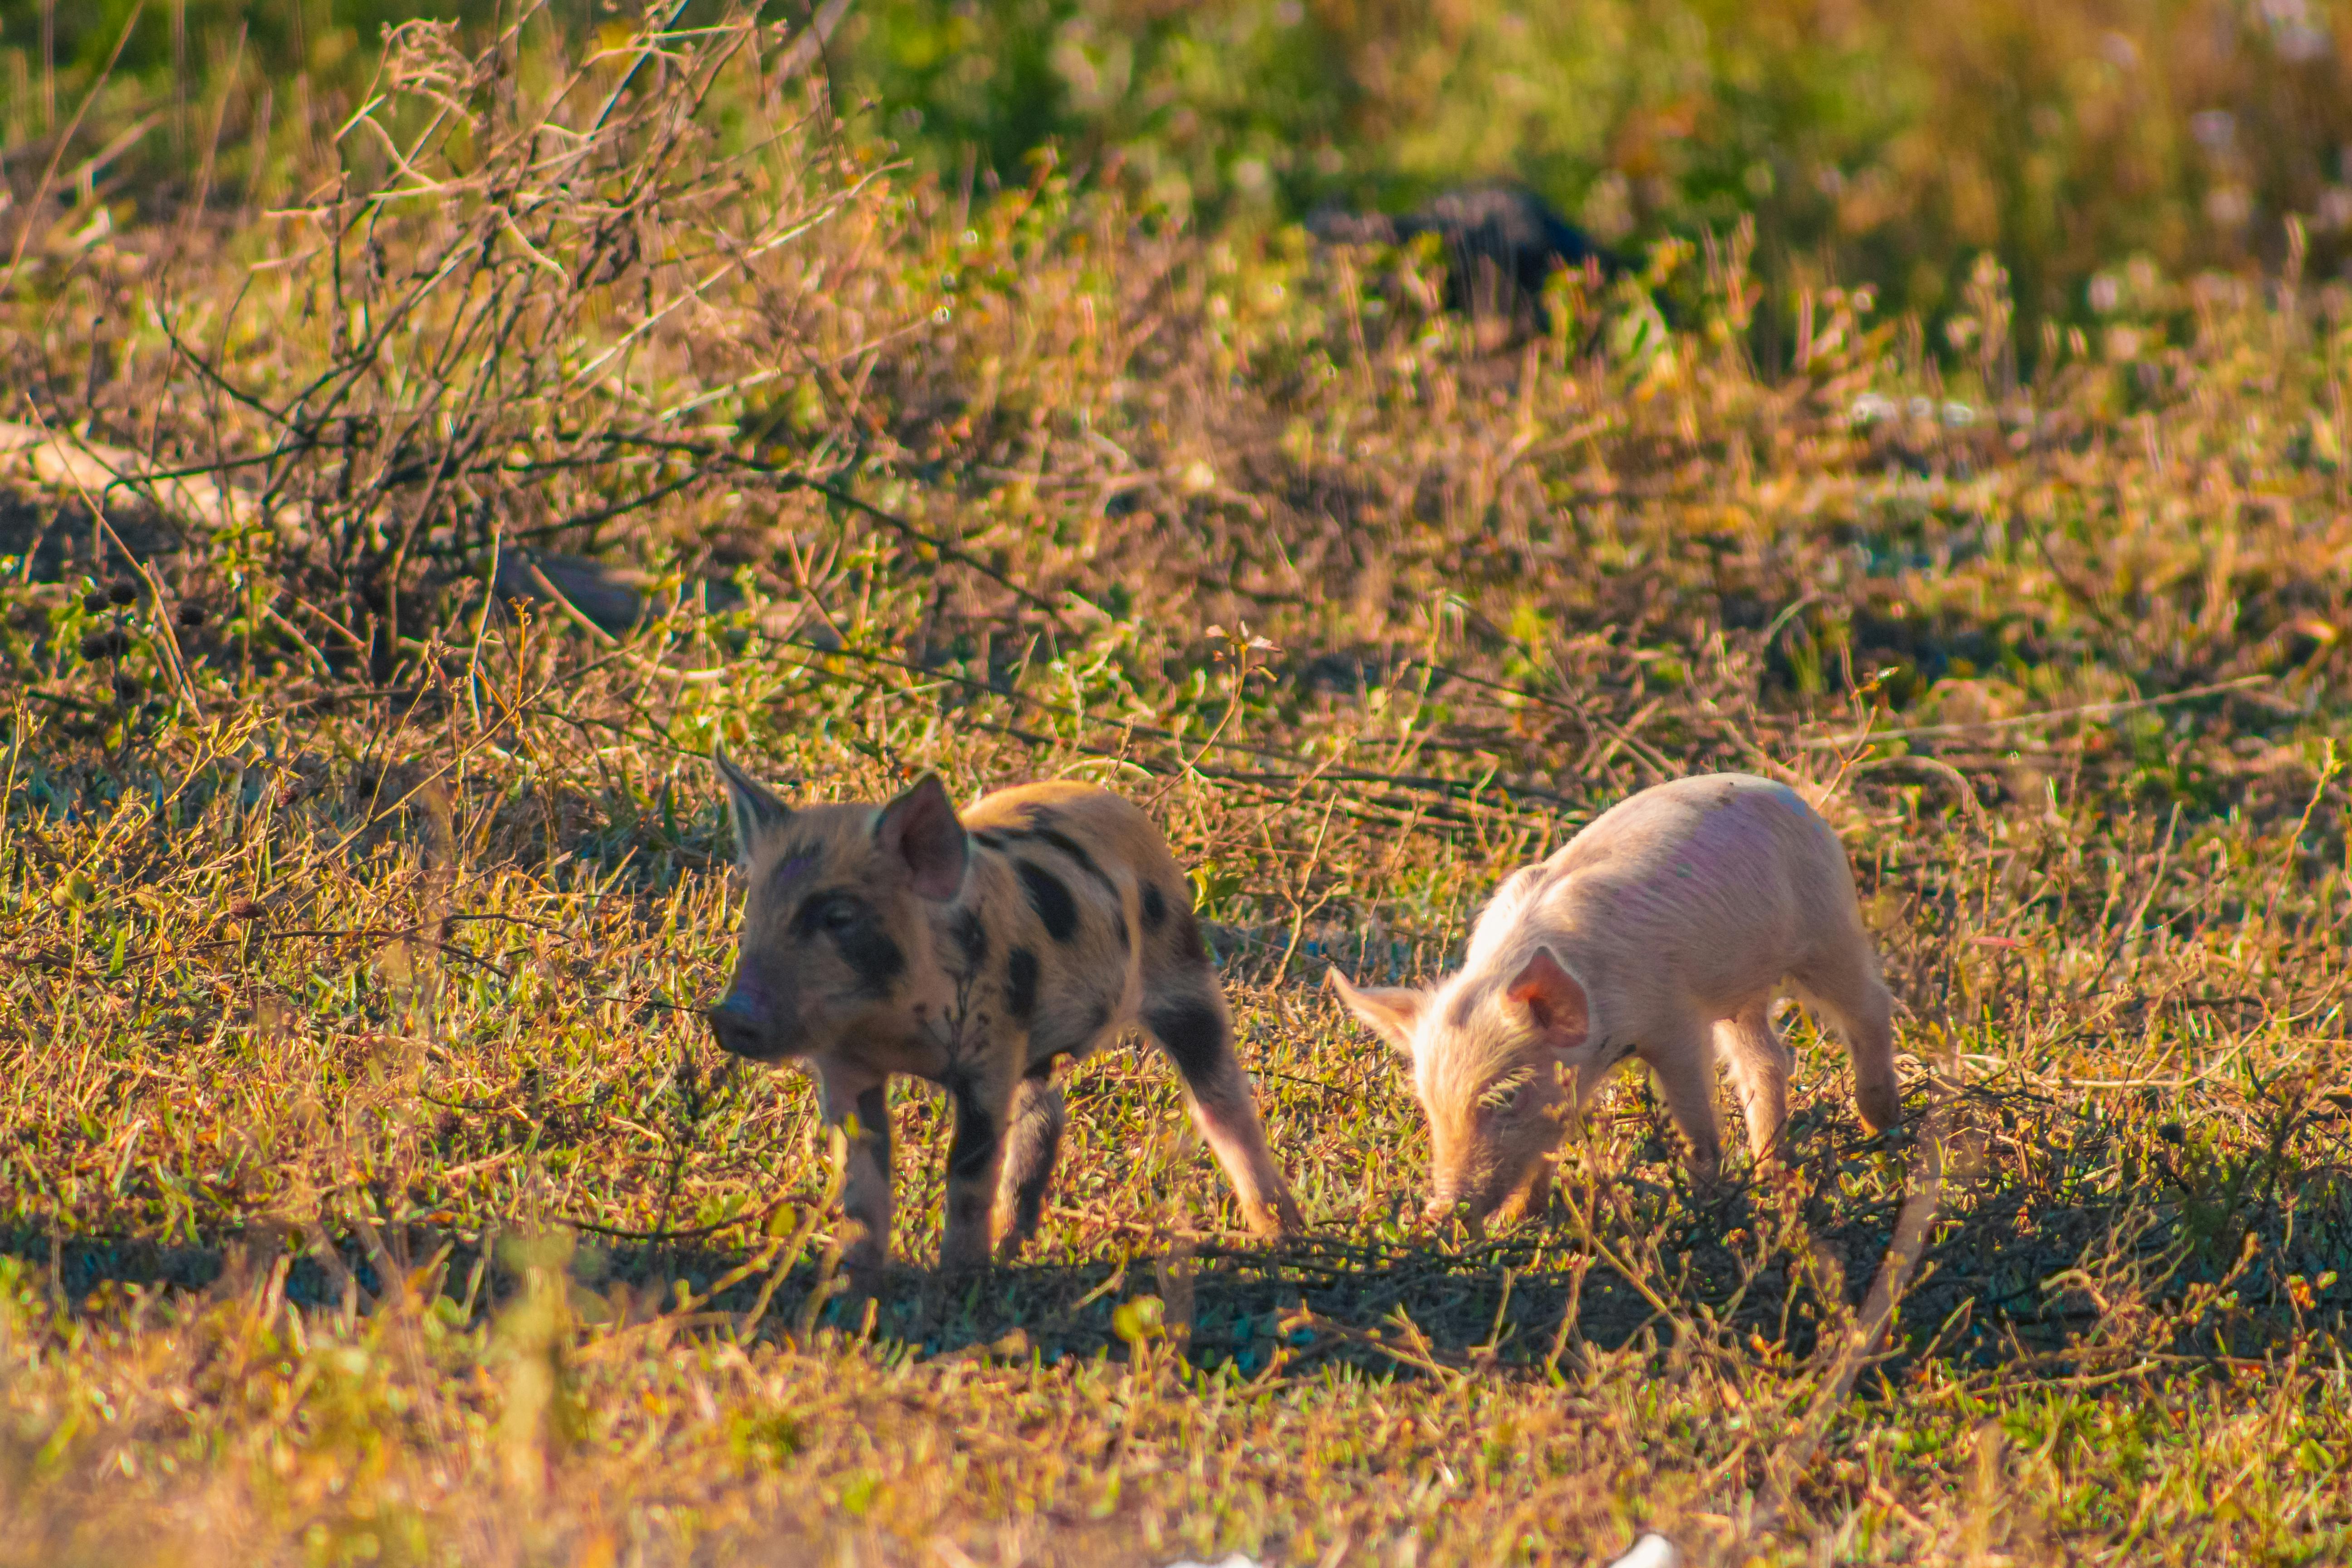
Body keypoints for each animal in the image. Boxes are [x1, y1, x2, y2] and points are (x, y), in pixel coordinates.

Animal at [706, 750, 1303, 1276]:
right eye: (757, 908)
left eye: (838, 916)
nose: (730, 1015)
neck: (894, 1030)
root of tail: (1113, 799)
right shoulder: (848, 1063)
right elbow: (862, 1174)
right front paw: (854, 1278)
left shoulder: (989, 1048)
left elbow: (970, 1169)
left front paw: (958, 1277)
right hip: (1037, 1037)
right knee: (1047, 1115)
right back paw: (1011, 1246)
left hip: (1182, 968)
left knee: (1222, 1102)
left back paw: (1285, 1236)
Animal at [1328, 773, 1901, 1226]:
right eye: (1427, 1103)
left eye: (1507, 1097)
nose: (1437, 1212)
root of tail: (1792, 796)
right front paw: (1522, 1220)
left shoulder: (1676, 1018)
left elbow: (1694, 1118)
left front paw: (1707, 1203)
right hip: (1740, 991)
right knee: (1766, 1060)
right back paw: (1769, 1172)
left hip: (1829, 927)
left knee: (1873, 1007)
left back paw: (1882, 1132)